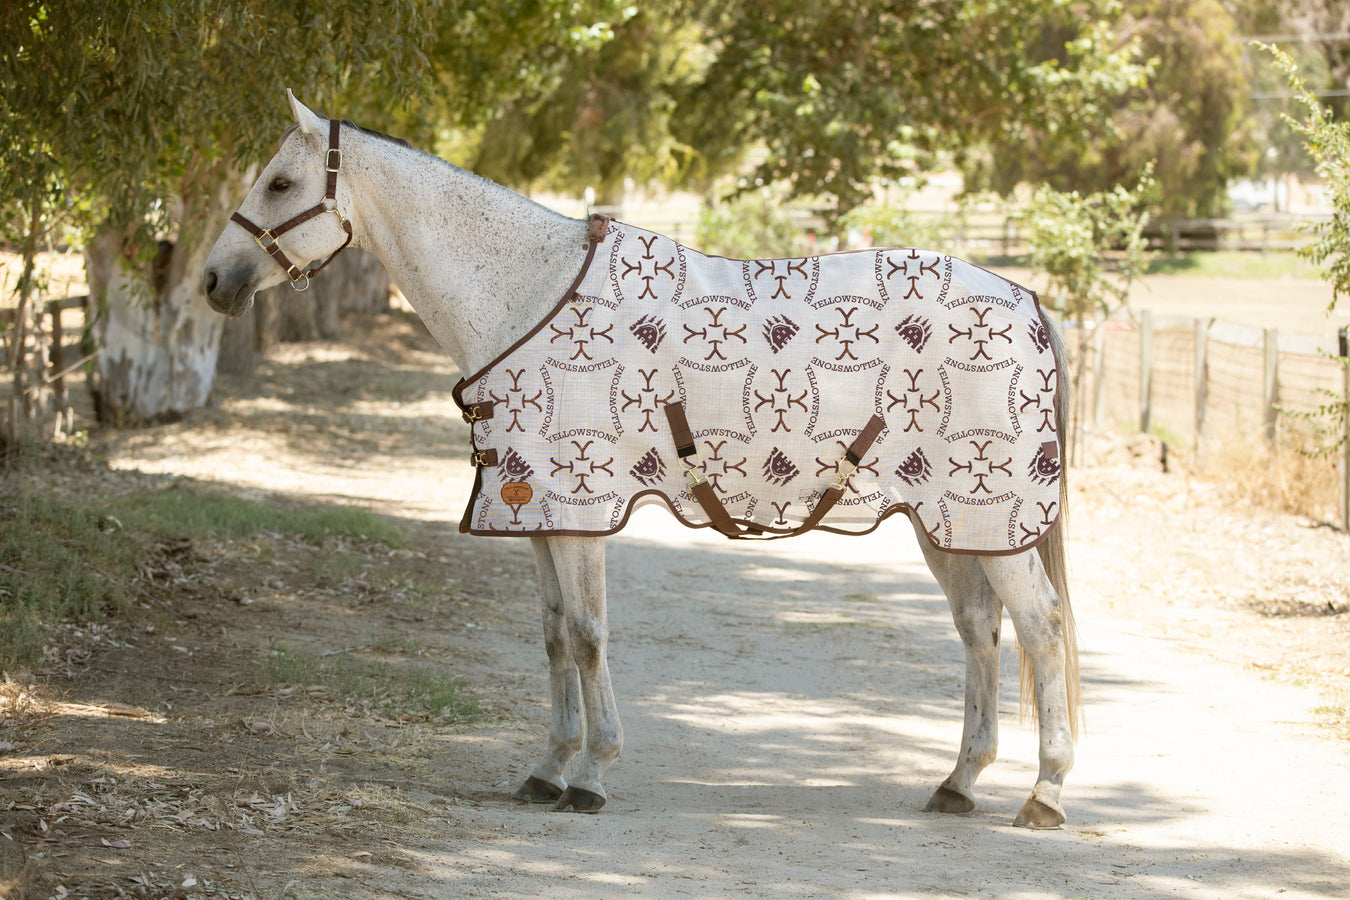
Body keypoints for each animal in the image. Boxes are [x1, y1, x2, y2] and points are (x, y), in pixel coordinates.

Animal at [203, 91, 1080, 827]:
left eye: (281, 182)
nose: (213, 280)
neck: (530, 295)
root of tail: (1028, 300)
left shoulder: (581, 510)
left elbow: (590, 633)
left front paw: (593, 775)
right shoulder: (536, 513)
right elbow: (554, 633)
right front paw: (548, 768)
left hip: (991, 518)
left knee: (1040, 628)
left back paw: (1044, 792)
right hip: (950, 522)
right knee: (979, 629)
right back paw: (959, 782)